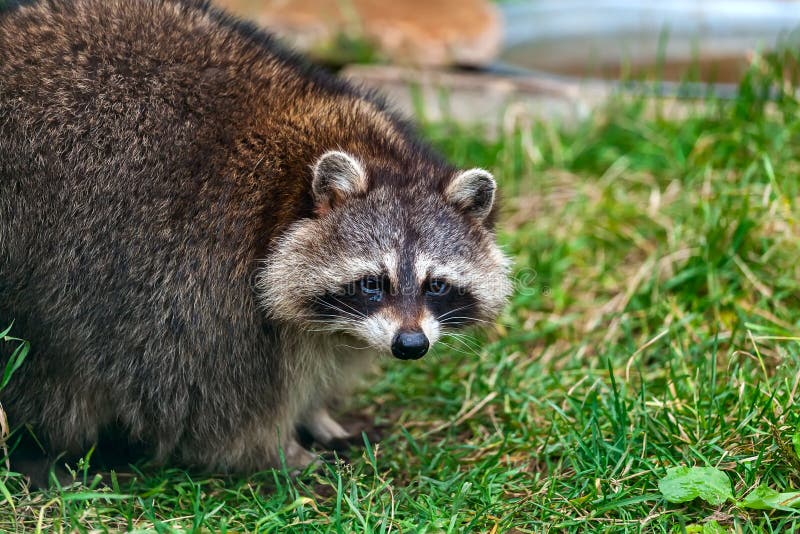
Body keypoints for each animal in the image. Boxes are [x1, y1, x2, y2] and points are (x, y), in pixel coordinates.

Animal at [0, 0, 511, 474]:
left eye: (436, 285)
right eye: (372, 283)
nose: (410, 345)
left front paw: (316, 412)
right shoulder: (196, 286)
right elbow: (214, 401)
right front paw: (279, 450)